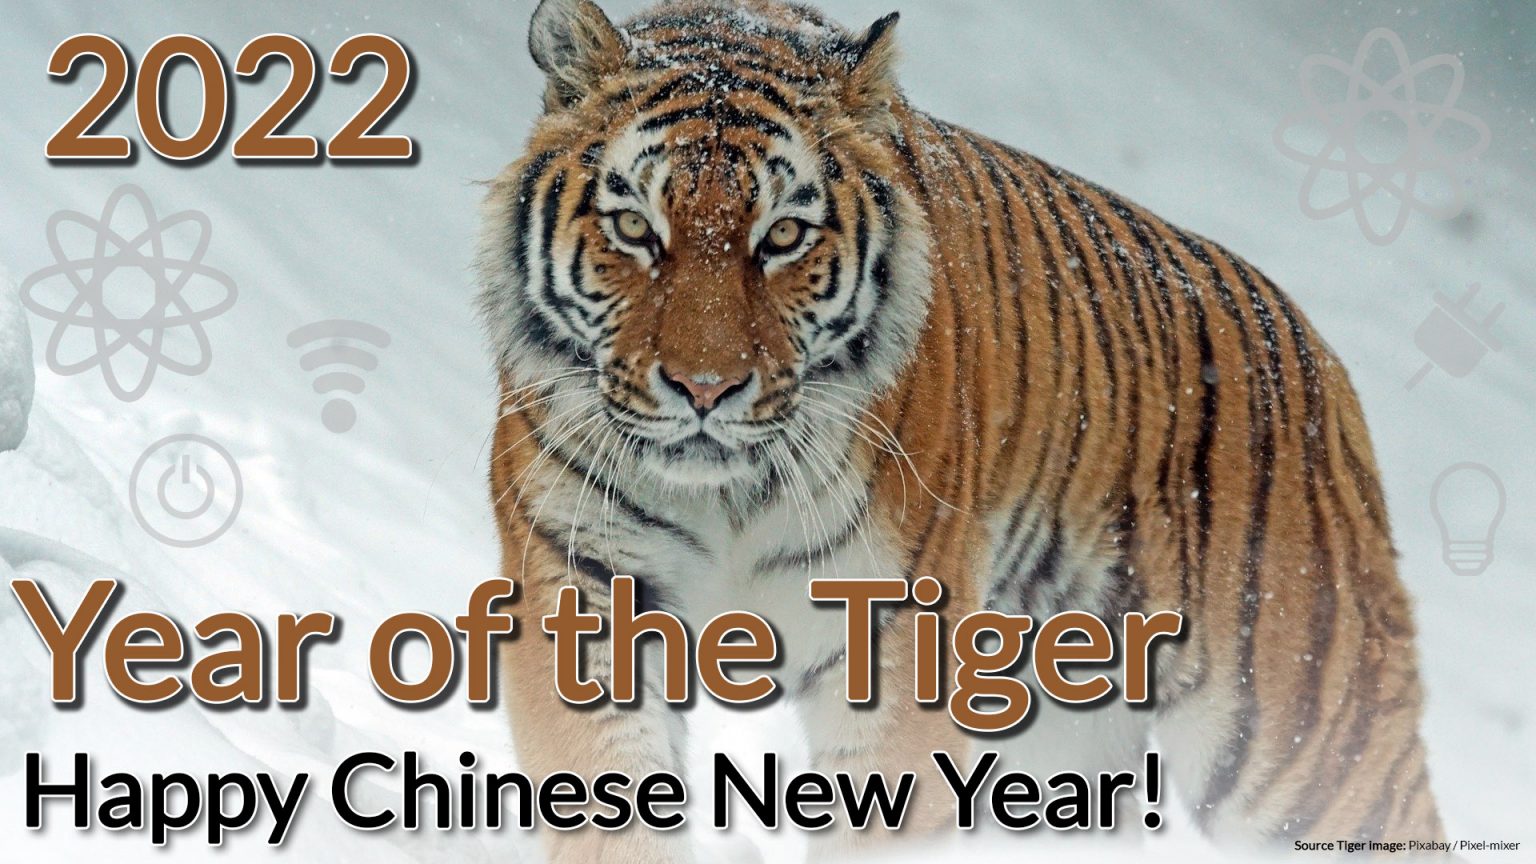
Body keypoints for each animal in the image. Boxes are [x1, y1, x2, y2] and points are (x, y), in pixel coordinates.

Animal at [476, 0, 1442, 860]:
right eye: (634, 227)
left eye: (782, 236)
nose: (705, 387)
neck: (729, 496)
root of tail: (1315, 355)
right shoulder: (581, 583)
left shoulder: (897, 642)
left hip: (1305, 742)